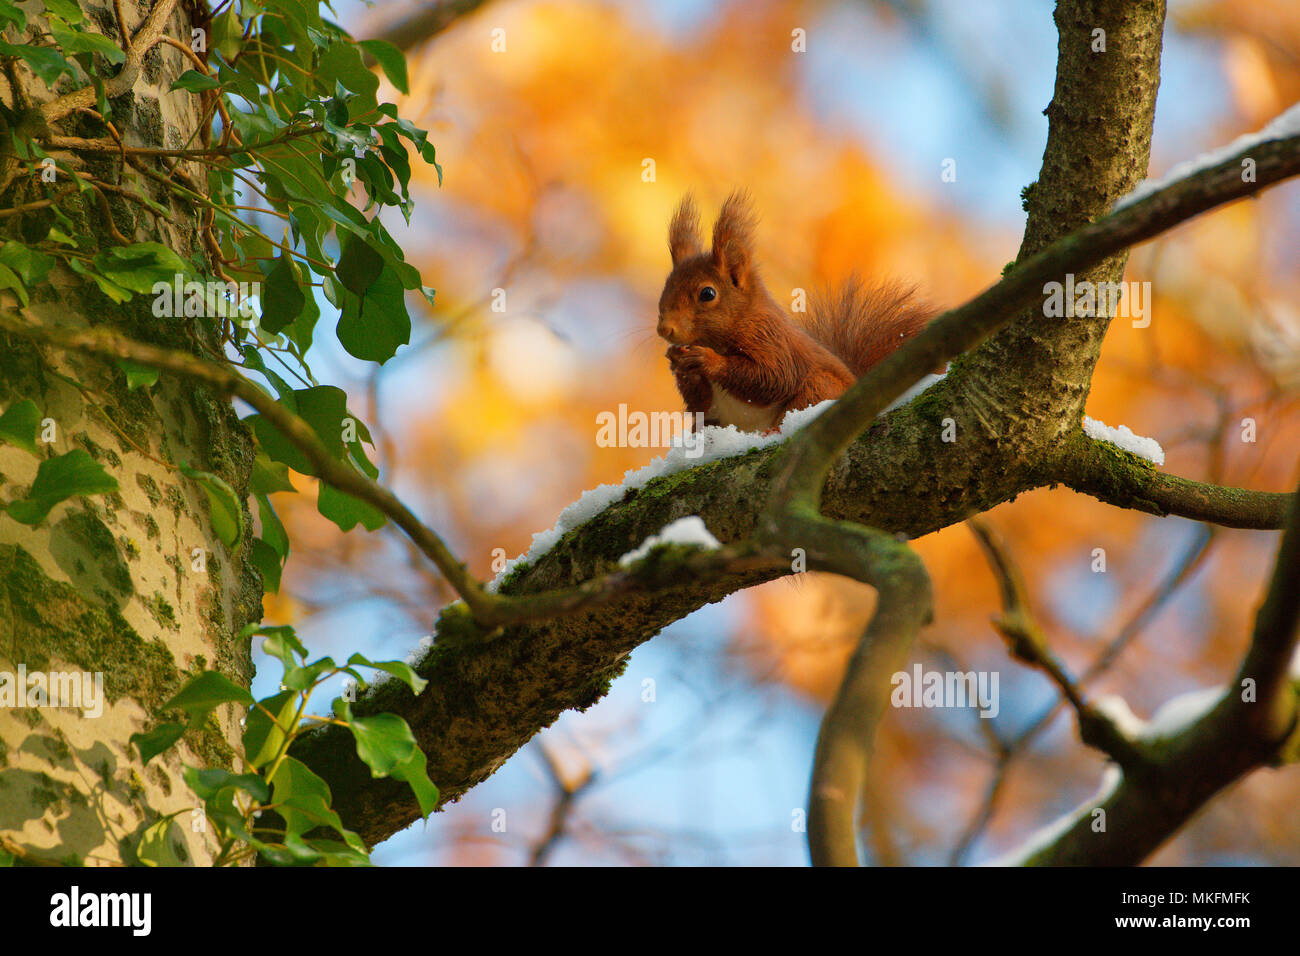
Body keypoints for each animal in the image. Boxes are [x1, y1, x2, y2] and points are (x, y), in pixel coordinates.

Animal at [657, 191, 935, 433]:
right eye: (667, 286)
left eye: (707, 294)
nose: (664, 329)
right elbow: (699, 403)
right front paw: (679, 363)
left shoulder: (772, 339)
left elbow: (773, 377)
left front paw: (707, 360)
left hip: (820, 387)